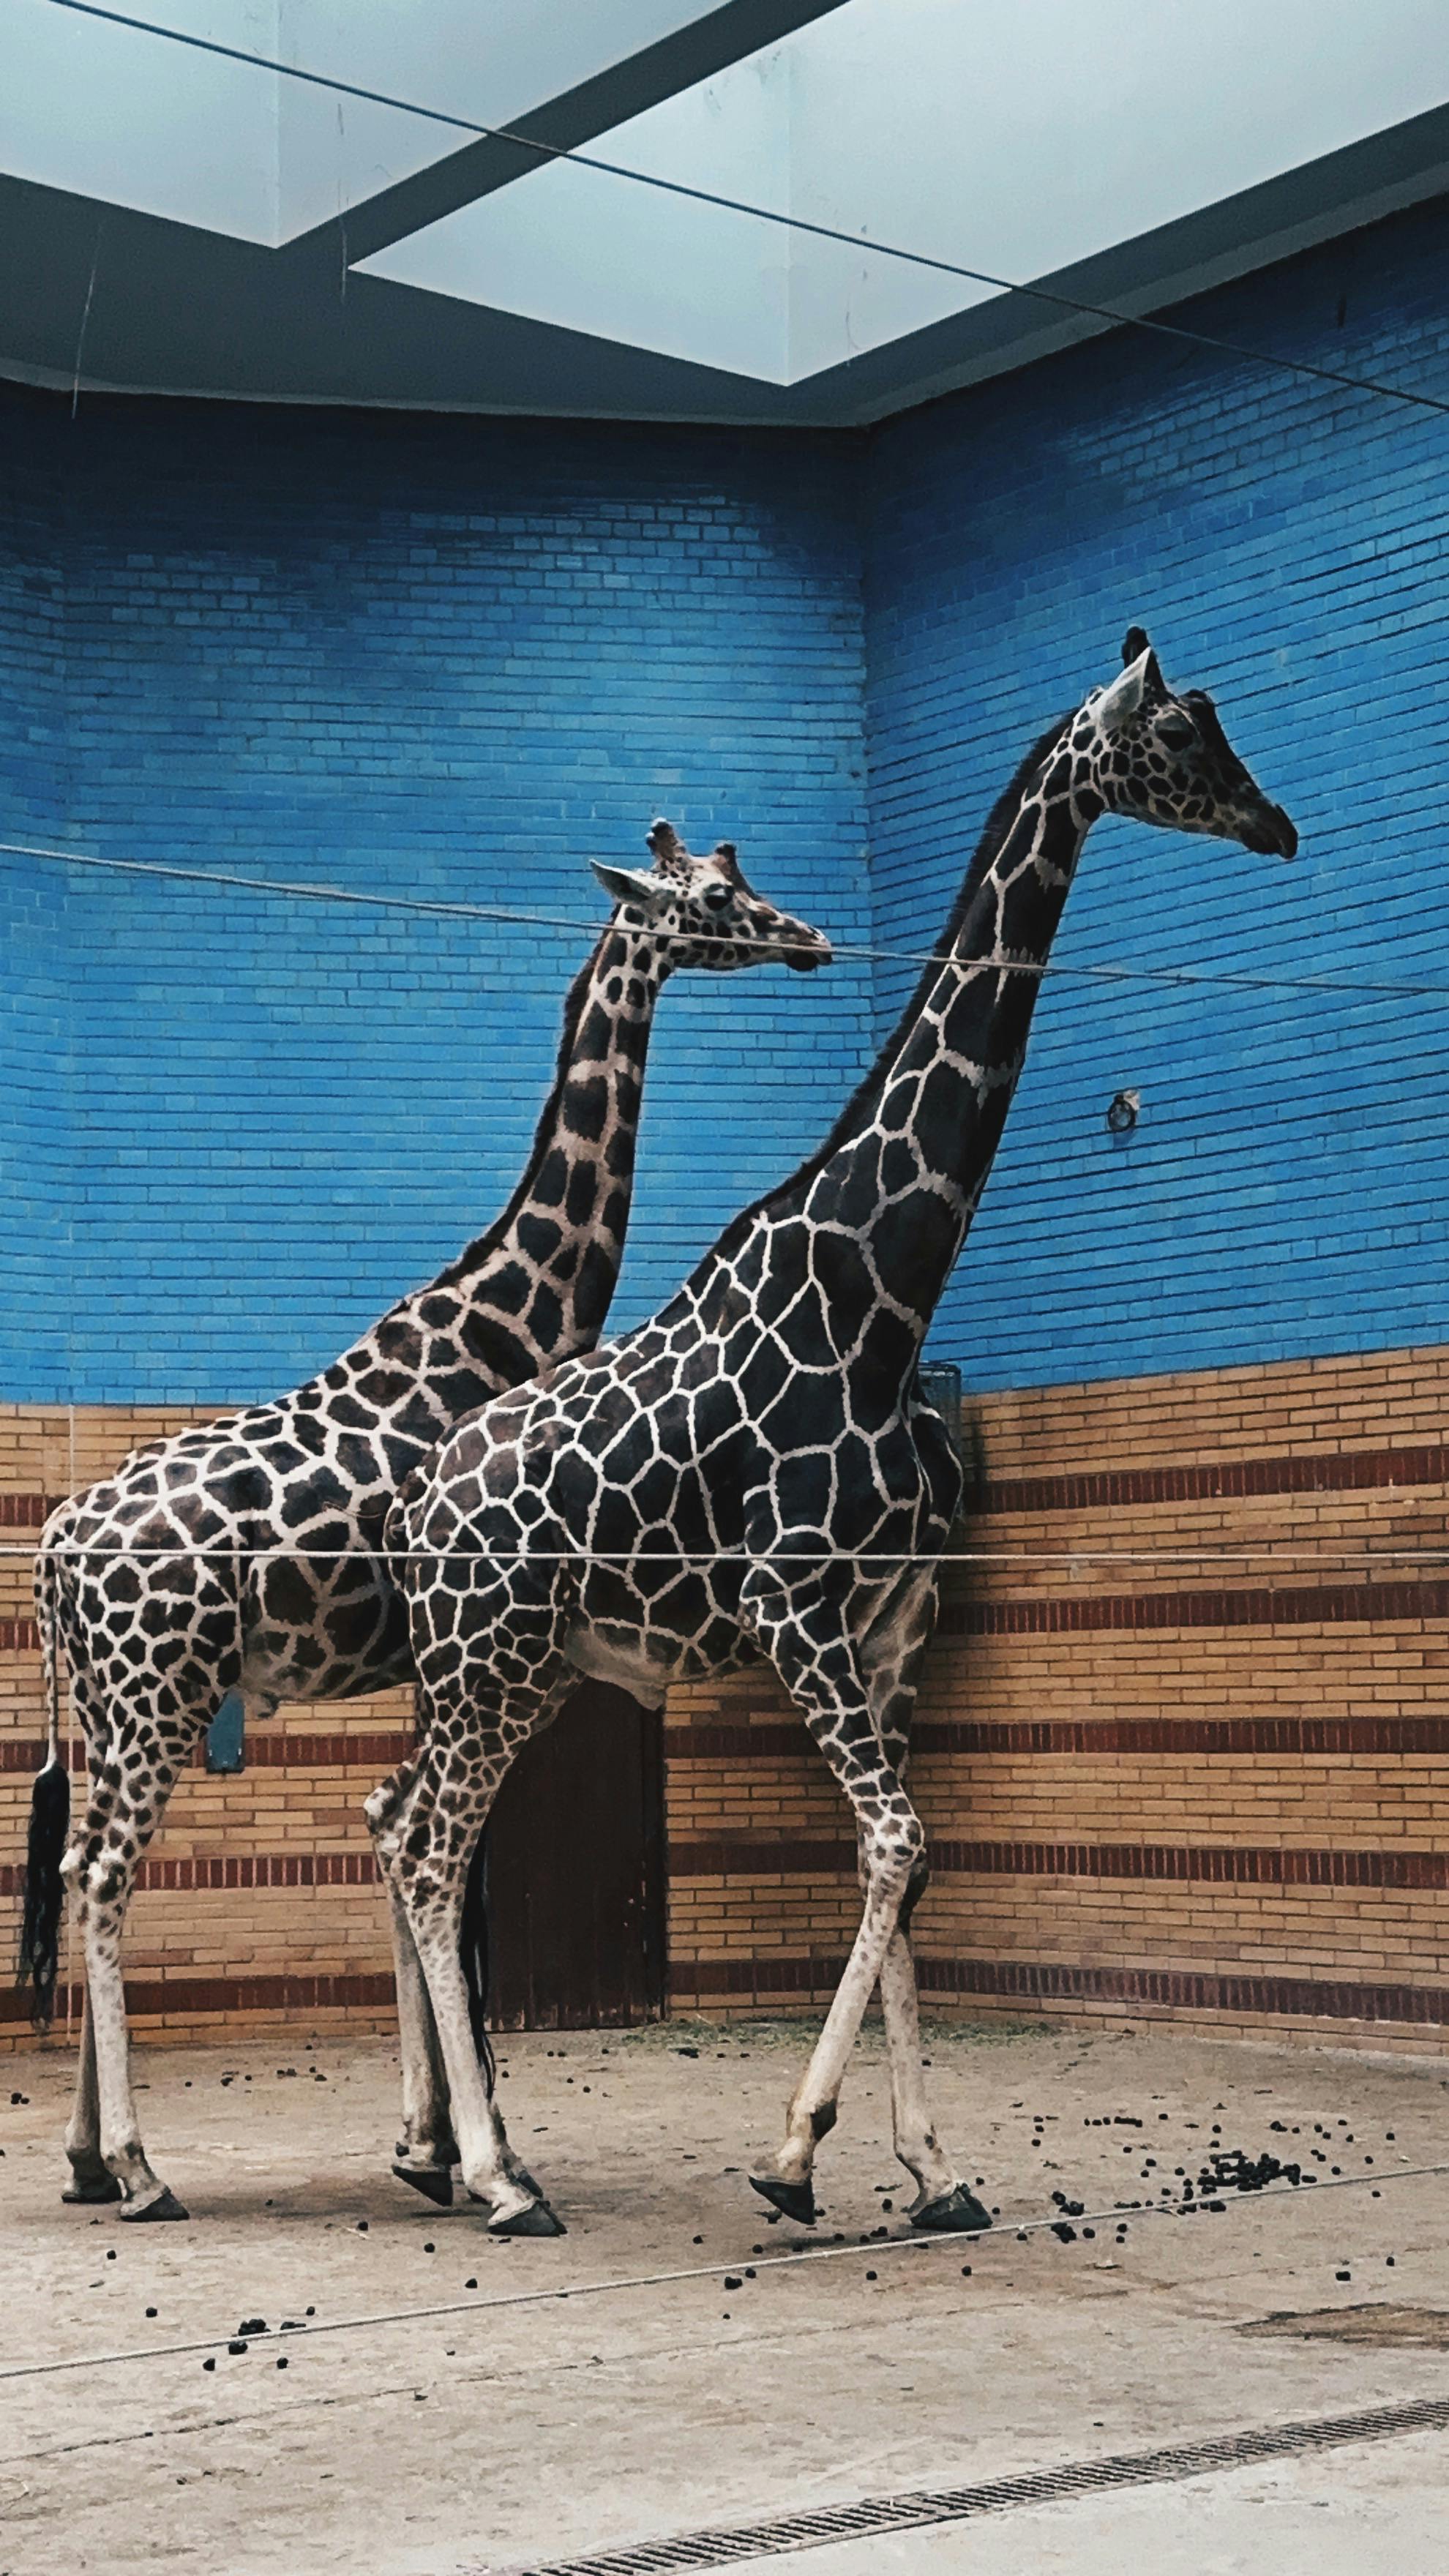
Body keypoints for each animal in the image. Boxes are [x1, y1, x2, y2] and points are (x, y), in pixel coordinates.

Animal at [25, 823, 832, 2222]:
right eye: (721, 894)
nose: (810, 937)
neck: (506, 1324)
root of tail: (58, 1544)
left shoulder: (425, 1658)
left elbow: (397, 1846)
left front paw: (436, 2144)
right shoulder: (461, 1648)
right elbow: (443, 1869)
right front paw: (472, 2147)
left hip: (106, 1707)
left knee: (81, 1868)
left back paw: (83, 2156)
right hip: (162, 1694)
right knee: (109, 1874)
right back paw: (138, 2166)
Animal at [376, 631, 1297, 2236]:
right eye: (1186, 733)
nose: (1279, 824)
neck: (887, 1294)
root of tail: (429, 1497)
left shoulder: (892, 1619)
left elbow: (907, 1865)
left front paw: (933, 2167)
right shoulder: (788, 1599)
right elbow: (899, 1844)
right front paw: (796, 2153)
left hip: (522, 1668)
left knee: (419, 1832)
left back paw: (458, 2150)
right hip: (486, 1659)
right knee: (430, 1856)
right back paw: (496, 2175)